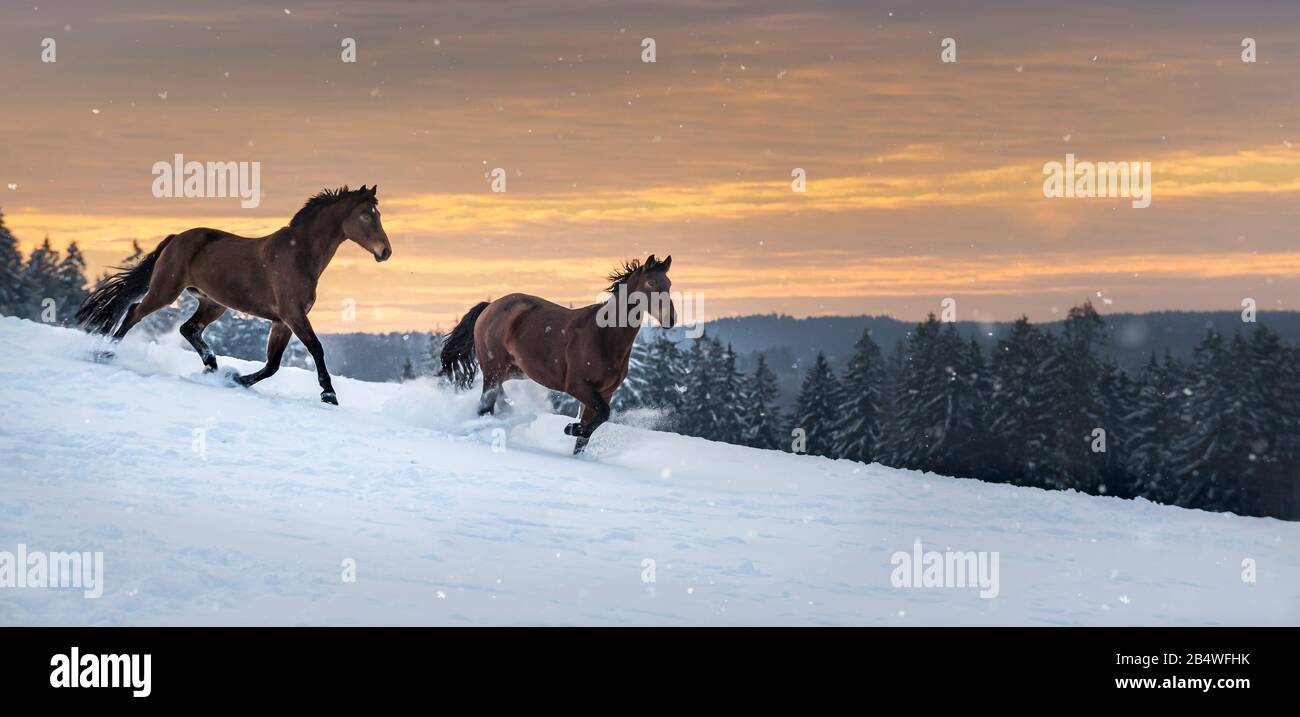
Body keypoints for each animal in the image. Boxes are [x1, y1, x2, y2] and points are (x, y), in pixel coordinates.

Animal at [76, 185, 392, 405]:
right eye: (366, 215)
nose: (385, 252)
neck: (298, 255)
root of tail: (177, 238)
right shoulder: (293, 314)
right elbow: (315, 348)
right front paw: (329, 394)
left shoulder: (282, 321)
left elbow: (272, 364)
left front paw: (236, 378)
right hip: (166, 290)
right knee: (134, 313)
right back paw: (104, 353)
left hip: (213, 303)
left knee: (188, 328)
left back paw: (212, 367)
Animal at [439, 254, 677, 454]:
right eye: (651, 283)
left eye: (669, 284)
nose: (671, 319)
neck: (604, 337)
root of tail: (490, 306)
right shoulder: (577, 385)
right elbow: (602, 414)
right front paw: (571, 427)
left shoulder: (605, 392)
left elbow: (591, 430)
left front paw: (576, 438)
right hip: (494, 369)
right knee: (485, 407)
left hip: (514, 371)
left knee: (496, 397)